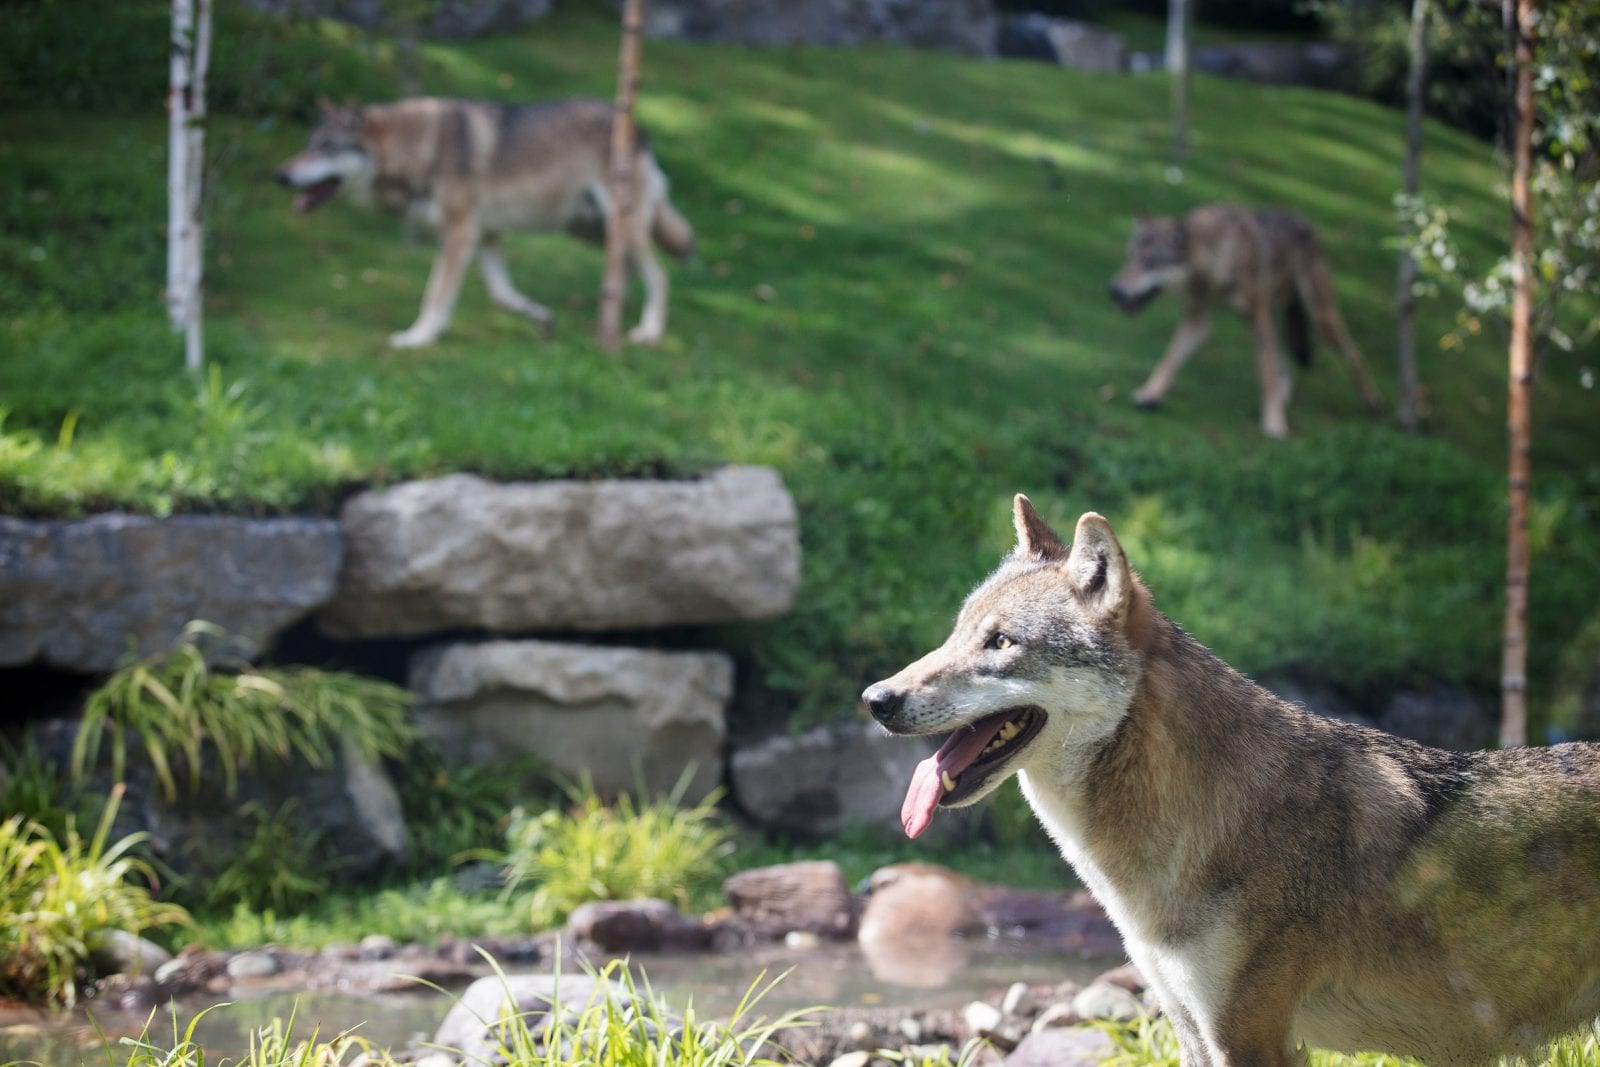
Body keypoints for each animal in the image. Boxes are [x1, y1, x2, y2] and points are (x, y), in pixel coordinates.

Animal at [275, 97, 694, 348]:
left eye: (326, 147)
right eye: (309, 144)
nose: (280, 175)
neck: (419, 150)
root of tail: (637, 128)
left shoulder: (459, 235)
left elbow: (435, 296)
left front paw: (417, 338)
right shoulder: (487, 236)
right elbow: (503, 295)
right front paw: (541, 318)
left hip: (621, 226)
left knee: (660, 275)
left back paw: (648, 331)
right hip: (592, 230)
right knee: (627, 268)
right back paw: (611, 307)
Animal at [1109, 204, 1385, 438]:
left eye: (1149, 263)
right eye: (1128, 258)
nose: (1112, 290)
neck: (1215, 260)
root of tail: (1305, 220)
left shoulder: (1257, 318)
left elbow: (1265, 374)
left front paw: (1274, 424)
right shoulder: (1197, 321)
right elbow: (1169, 359)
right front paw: (1149, 394)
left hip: (1320, 318)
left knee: (1353, 352)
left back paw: (1373, 400)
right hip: (1277, 321)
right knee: (1284, 365)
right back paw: (1283, 399)